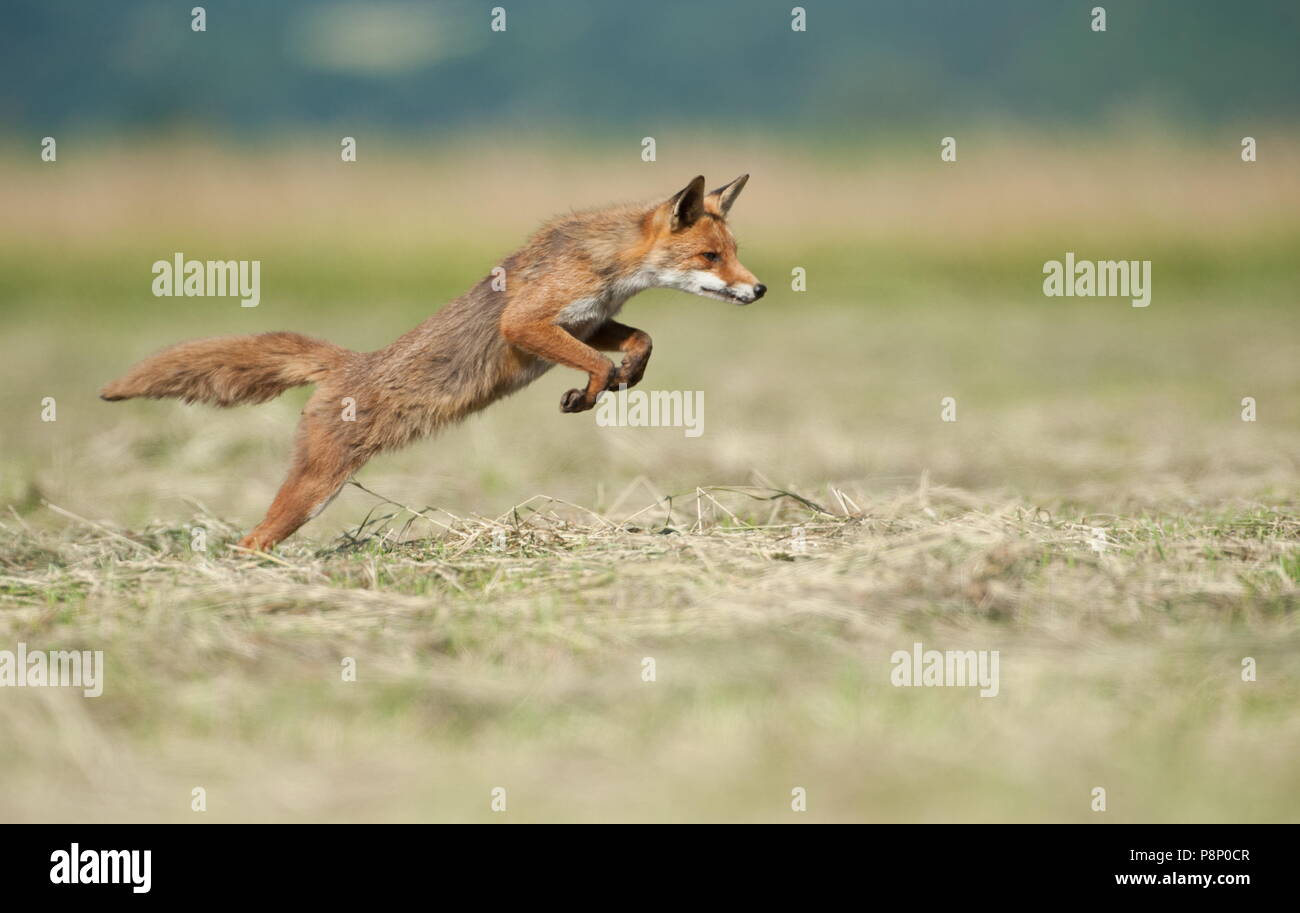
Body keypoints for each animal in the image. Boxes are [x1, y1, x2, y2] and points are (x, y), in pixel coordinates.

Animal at [100, 174, 765, 551]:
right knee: (251, 540)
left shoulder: (590, 320)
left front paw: (628, 376)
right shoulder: (526, 324)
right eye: (710, 257)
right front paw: (588, 394)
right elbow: (593, 364)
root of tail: (352, 362)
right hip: (314, 489)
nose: (758, 290)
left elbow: (642, 341)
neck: (607, 265)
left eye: (734, 253)